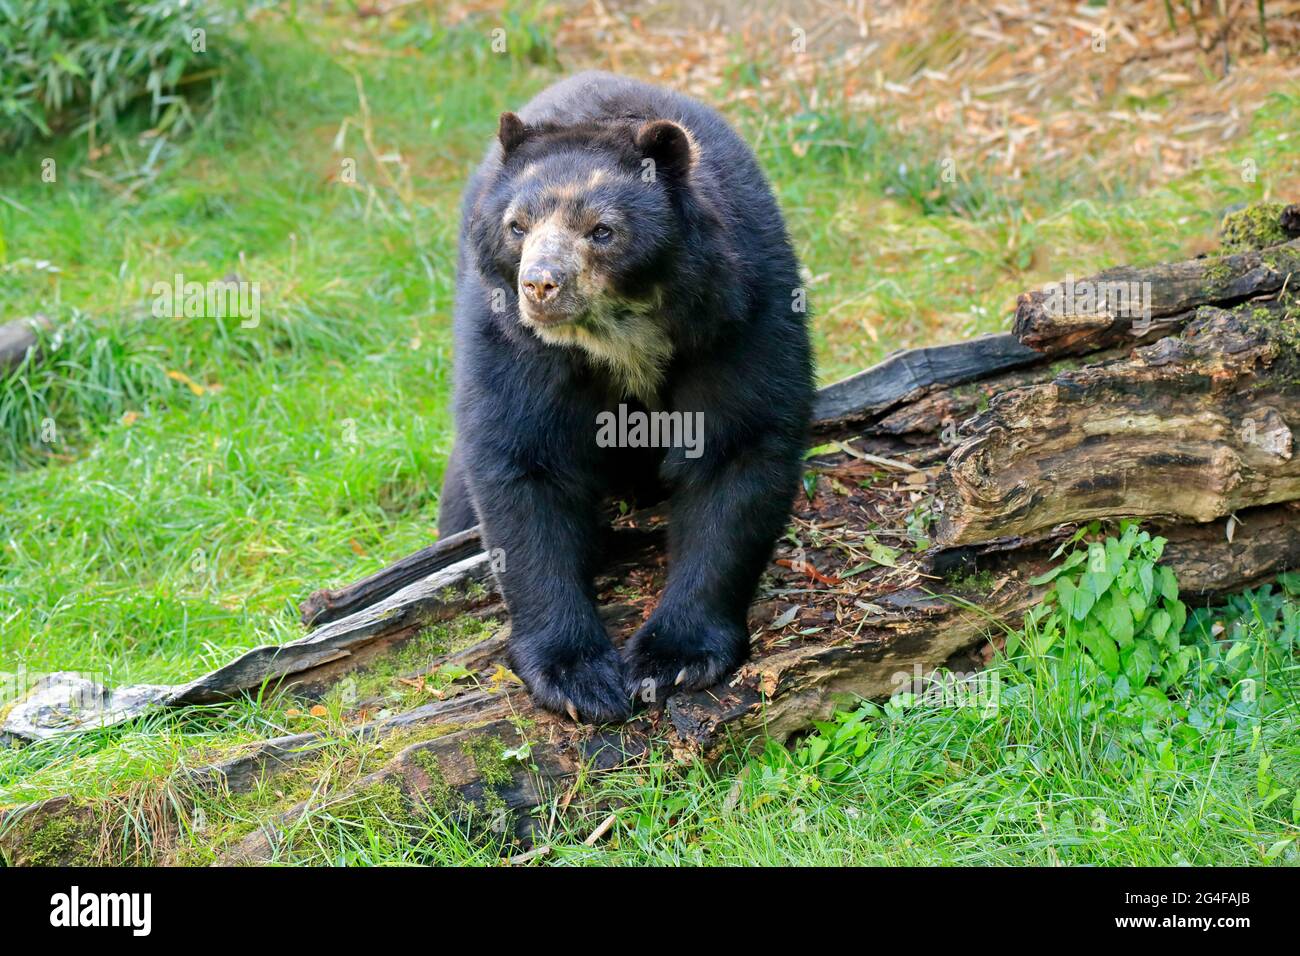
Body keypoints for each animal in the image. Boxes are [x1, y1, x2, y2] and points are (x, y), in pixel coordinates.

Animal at [438, 71, 813, 722]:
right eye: (518, 226)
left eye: (602, 231)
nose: (540, 285)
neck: (617, 332)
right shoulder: (511, 340)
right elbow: (523, 464)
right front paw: (578, 678)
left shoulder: (740, 313)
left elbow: (736, 447)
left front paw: (671, 660)